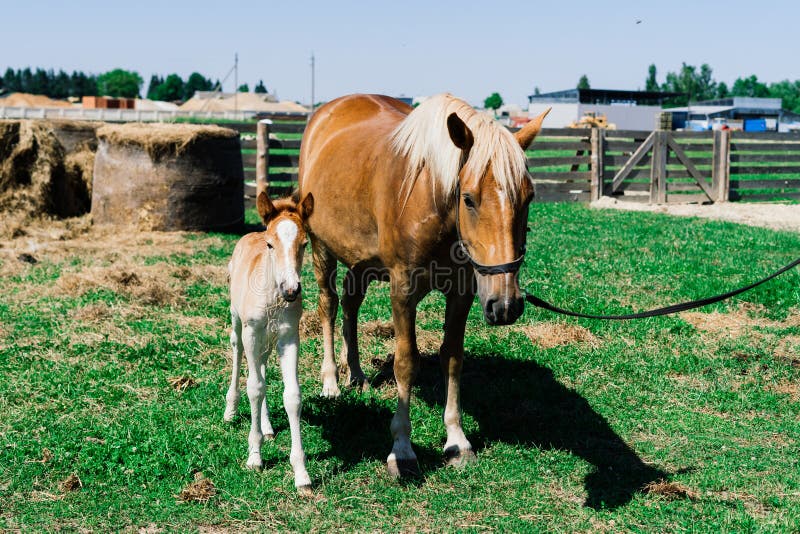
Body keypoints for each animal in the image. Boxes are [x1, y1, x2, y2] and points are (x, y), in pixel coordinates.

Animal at [224, 191, 315, 494]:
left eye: (304, 244)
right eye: (270, 244)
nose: (291, 289)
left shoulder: (289, 337)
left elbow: (292, 396)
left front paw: (301, 473)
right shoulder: (252, 332)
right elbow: (254, 388)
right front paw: (254, 457)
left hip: (267, 339)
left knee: (261, 367)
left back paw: (266, 427)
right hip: (238, 323)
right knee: (239, 353)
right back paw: (230, 410)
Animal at [298, 93, 549, 476]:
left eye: (529, 197)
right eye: (469, 198)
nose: (505, 306)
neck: (429, 197)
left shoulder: (462, 292)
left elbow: (453, 358)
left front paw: (457, 440)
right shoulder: (402, 291)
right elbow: (406, 363)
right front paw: (402, 448)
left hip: (361, 260)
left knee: (351, 304)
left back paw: (355, 372)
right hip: (321, 247)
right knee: (329, 305)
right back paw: (331, 381)